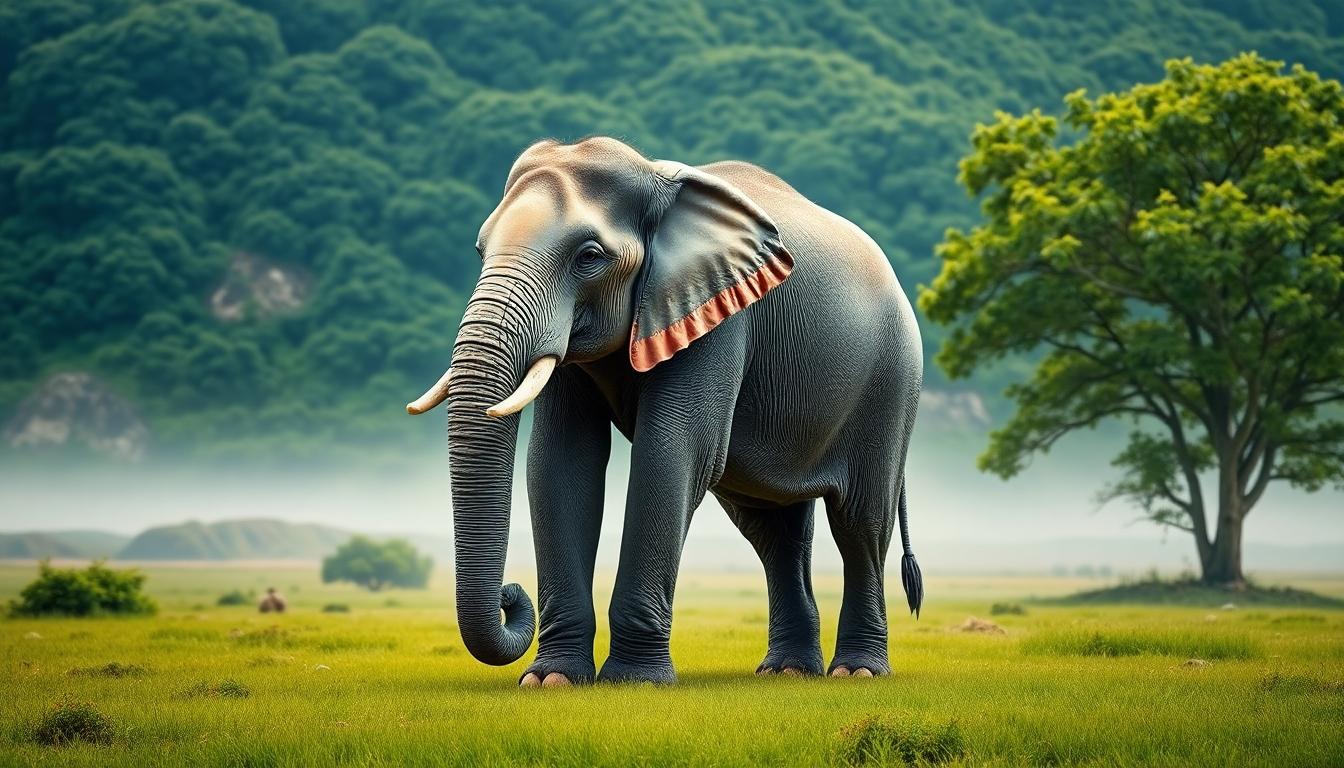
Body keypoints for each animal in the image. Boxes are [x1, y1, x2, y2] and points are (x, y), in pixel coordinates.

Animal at [406, 136, 923, 686]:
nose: (510, 595)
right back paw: (786, 672)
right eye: (480, 251)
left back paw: (856, 672)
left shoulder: (720, 316)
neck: (655, 177)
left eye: (589, 257)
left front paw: (633, 681)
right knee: (771, 530)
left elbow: (671, 454)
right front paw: (551, 681)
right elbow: (559, 463)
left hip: (891, 382)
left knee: (861, 523)